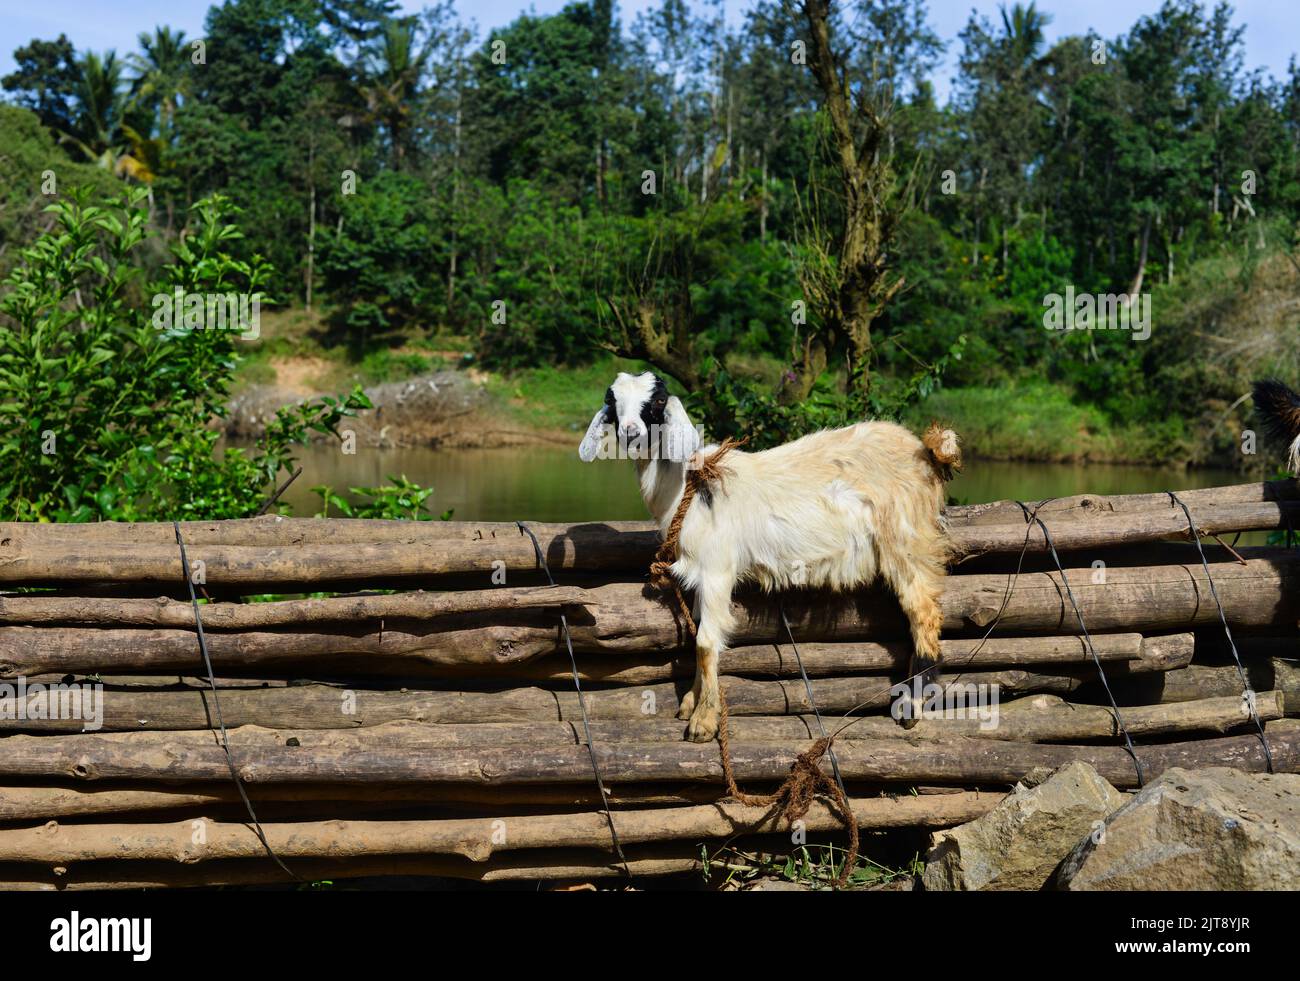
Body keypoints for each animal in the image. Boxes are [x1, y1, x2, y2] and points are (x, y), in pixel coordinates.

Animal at [578, 370, 962, 742]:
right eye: (612, 400)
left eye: (657, 400)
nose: (631, 433)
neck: (689, 488)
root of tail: (926, 452)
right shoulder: (702, 575)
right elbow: (702, 632)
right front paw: (691, 701)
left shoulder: (717, 569)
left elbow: (706, 642)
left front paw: (704, 721)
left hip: (906, 539)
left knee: (923, 614)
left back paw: (912, 707)